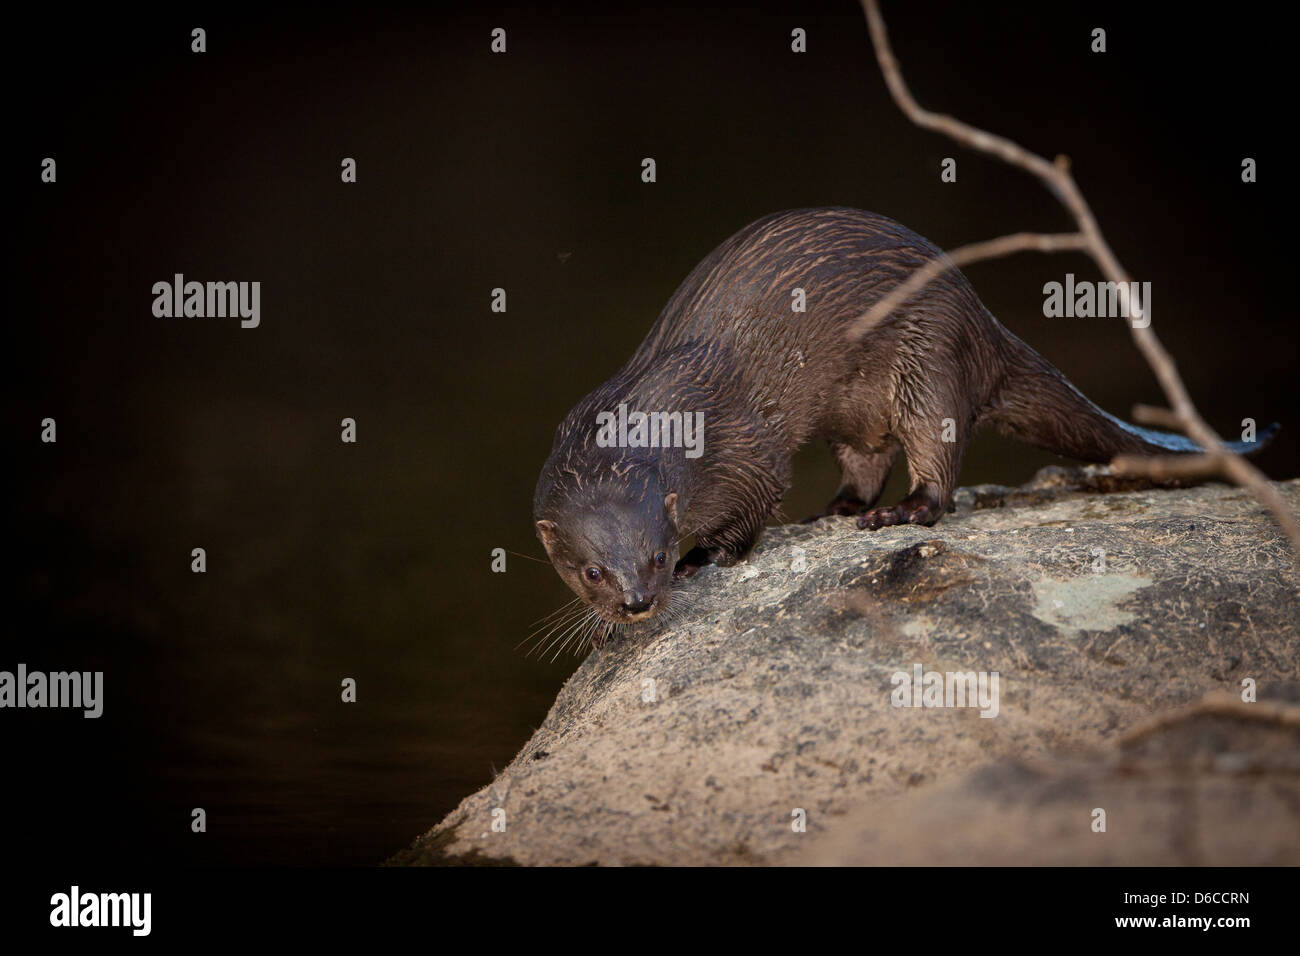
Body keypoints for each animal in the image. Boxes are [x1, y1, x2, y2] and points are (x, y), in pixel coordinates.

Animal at [532, 207, 1276, 627]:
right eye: (591, 572)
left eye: (656, 554)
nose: (637, 601)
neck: (658, 408)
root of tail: (983, 321)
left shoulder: (741, 450)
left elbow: (754, 500)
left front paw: (703, 558)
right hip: (862, 405)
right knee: (867, 458)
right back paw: (835, 509)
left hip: (931, 361)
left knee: (936, 472)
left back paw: (895, 513)